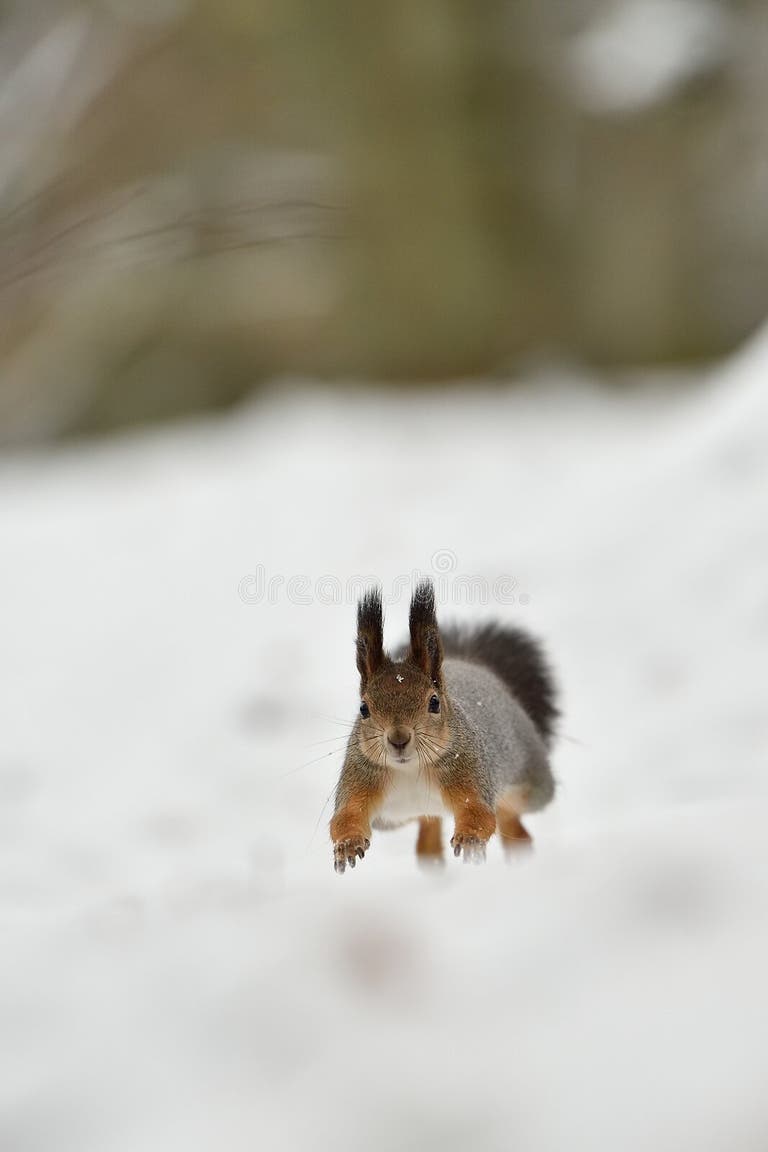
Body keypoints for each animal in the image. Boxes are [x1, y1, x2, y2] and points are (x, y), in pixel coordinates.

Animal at [330, 579, 558, 872]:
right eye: (363, 708)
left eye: (434, 703)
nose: (398, 739)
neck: (410, 769)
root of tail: (474, 666)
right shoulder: (359, 776)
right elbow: (345, 815)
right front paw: (347, 844)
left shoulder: (468, 770)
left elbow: (480, 813)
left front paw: (470, 839)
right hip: (393, 821)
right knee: (428, 830)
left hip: (530, 785)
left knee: (508, 815)